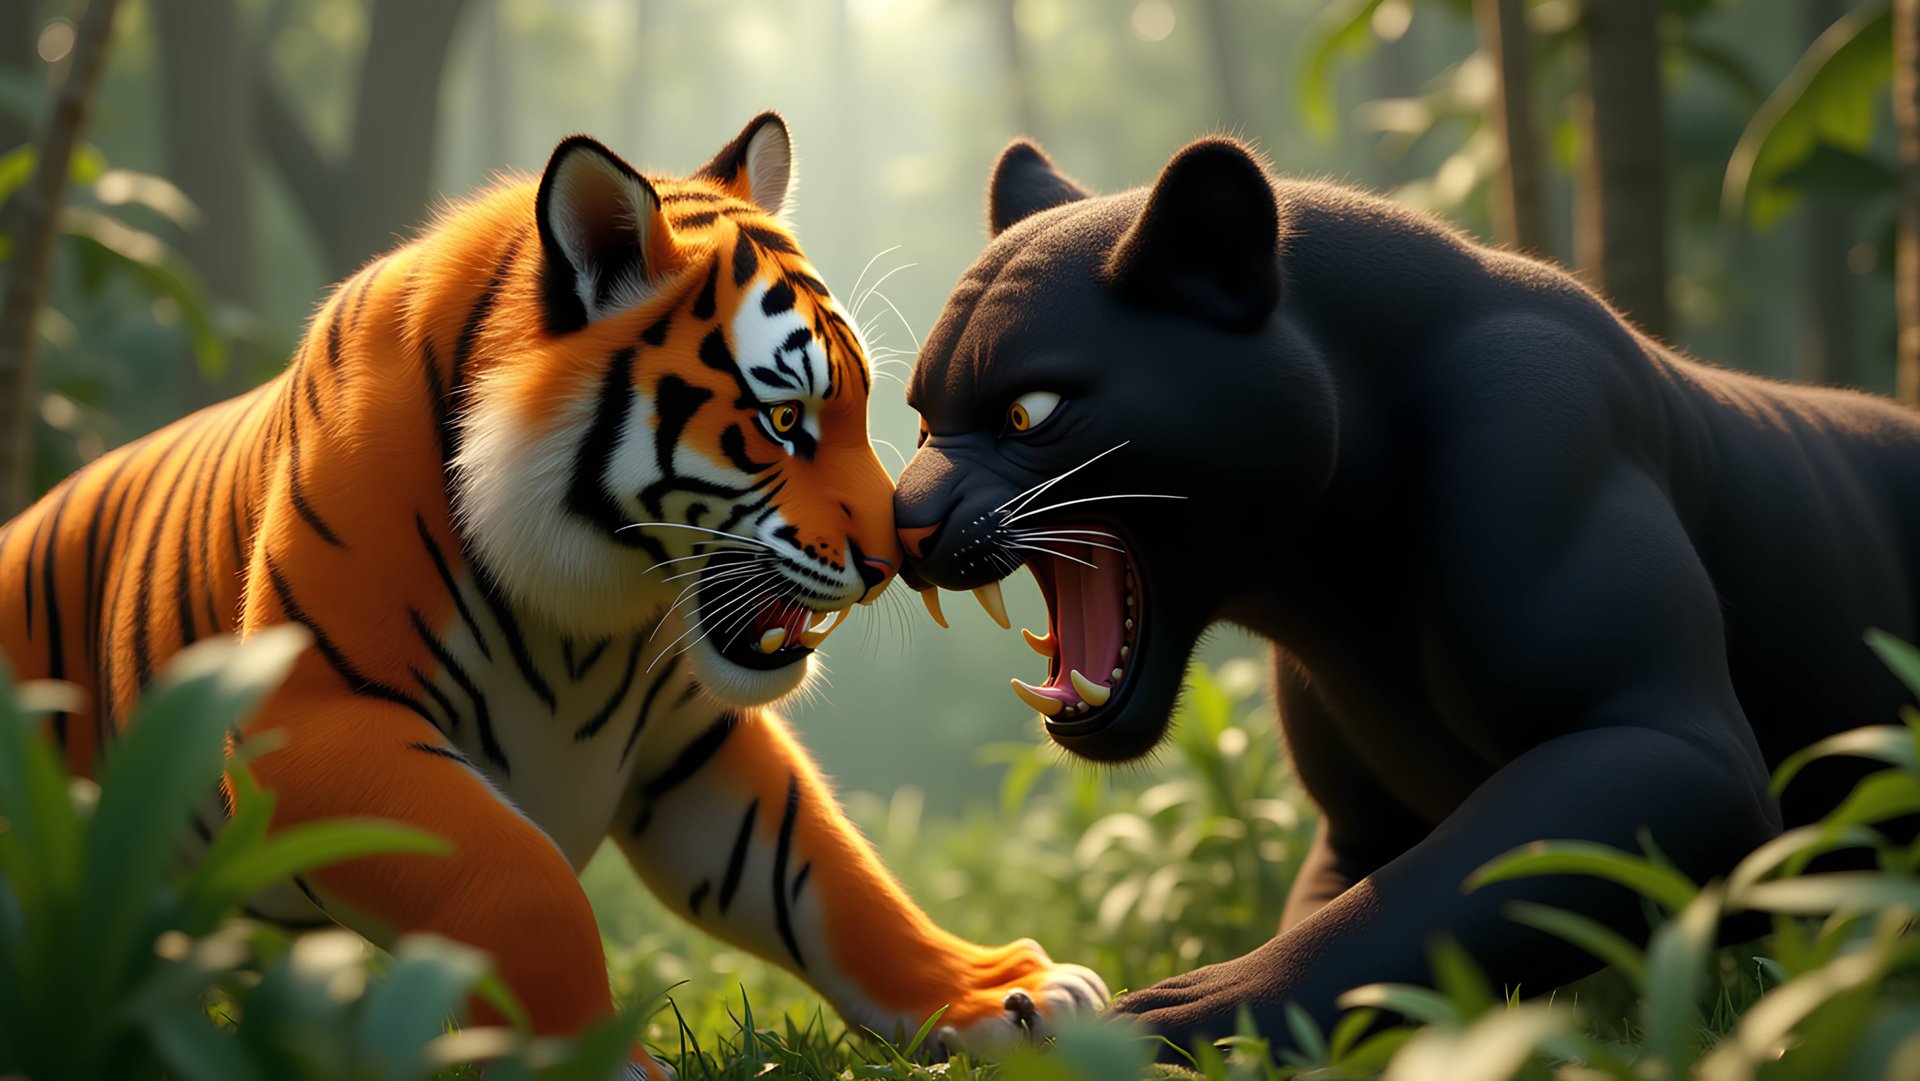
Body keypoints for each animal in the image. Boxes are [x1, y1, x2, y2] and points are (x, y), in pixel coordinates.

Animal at [0, 114, 1106, 1080]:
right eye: (783, 420)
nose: (895, 557)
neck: (587, 613)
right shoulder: (315, 723)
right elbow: (520, 881)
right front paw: (593, 1056)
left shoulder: (695, 747)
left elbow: (835, 875)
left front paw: (999, 996)